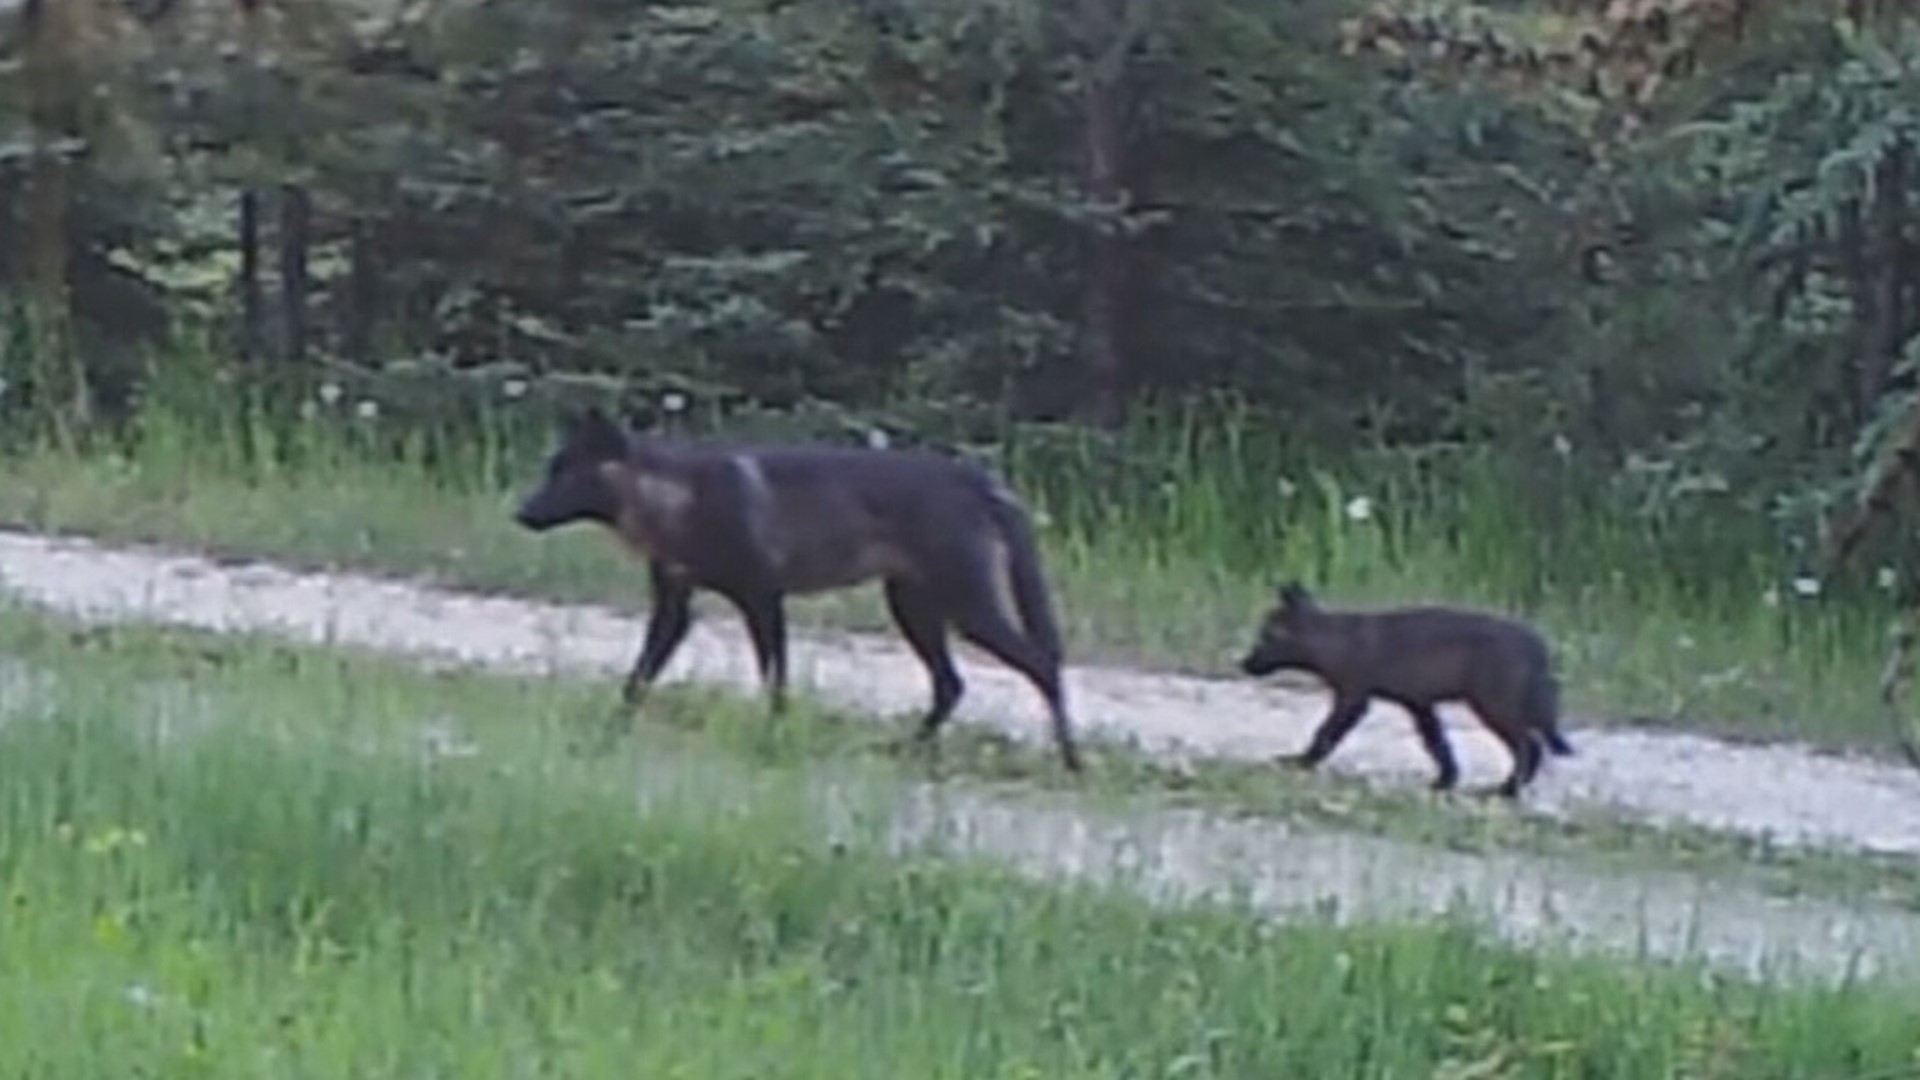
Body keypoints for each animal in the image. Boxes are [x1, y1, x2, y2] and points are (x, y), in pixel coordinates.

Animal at [511, 407, 1084, 772]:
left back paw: (1073, 760)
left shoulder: (763, 603)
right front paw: (608, 733)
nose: (519, 513)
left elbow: (776, 686)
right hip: (914, 609)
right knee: (951, 684)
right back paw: (907, 751)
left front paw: (774, 742)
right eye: (550, 469)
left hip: (966, 611)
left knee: (1042, 664)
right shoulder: (673, 611)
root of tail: (979, 480)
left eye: (568, 473)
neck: (680, 501)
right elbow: (637, 679)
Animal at [1237, 582, 1574, 798]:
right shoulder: (1418, 704)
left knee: (1528, 746)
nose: (1244, 663)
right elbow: (1438, 745)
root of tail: (1539, 647)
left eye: (1265, 637)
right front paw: (1444, 781)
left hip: (1494, 704)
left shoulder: (1352, 696)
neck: (1333, 639)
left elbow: (1326, 733)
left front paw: (1301, 762)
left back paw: (1505, 791)